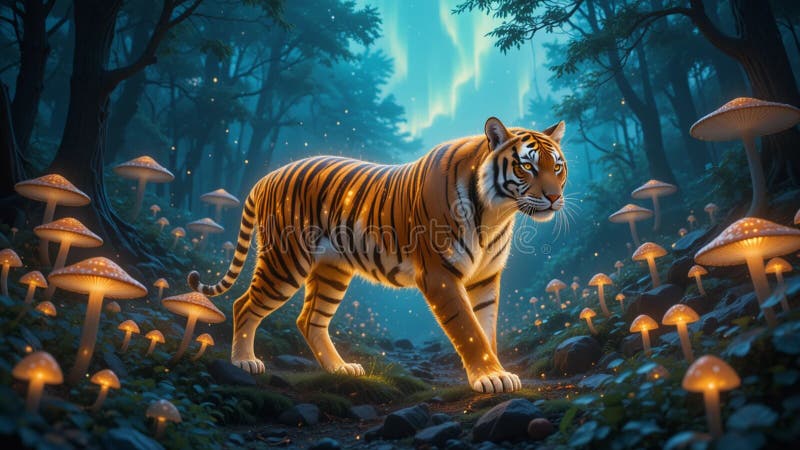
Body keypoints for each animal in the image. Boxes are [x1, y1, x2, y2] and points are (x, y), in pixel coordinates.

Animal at [188, 117, 568, 393]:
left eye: (558, 167)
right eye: (527, 167)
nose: (554, 197)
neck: (496, 213)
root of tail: (266, 178)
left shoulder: (485, 278)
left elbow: (486, 328)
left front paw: (497, 372)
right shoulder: (440, 274)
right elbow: (468, 329)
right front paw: (489, 377)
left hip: (331, 270)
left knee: (309, 319)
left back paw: (341, 369)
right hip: (285, 262)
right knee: (244, 304)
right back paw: (244, 362)